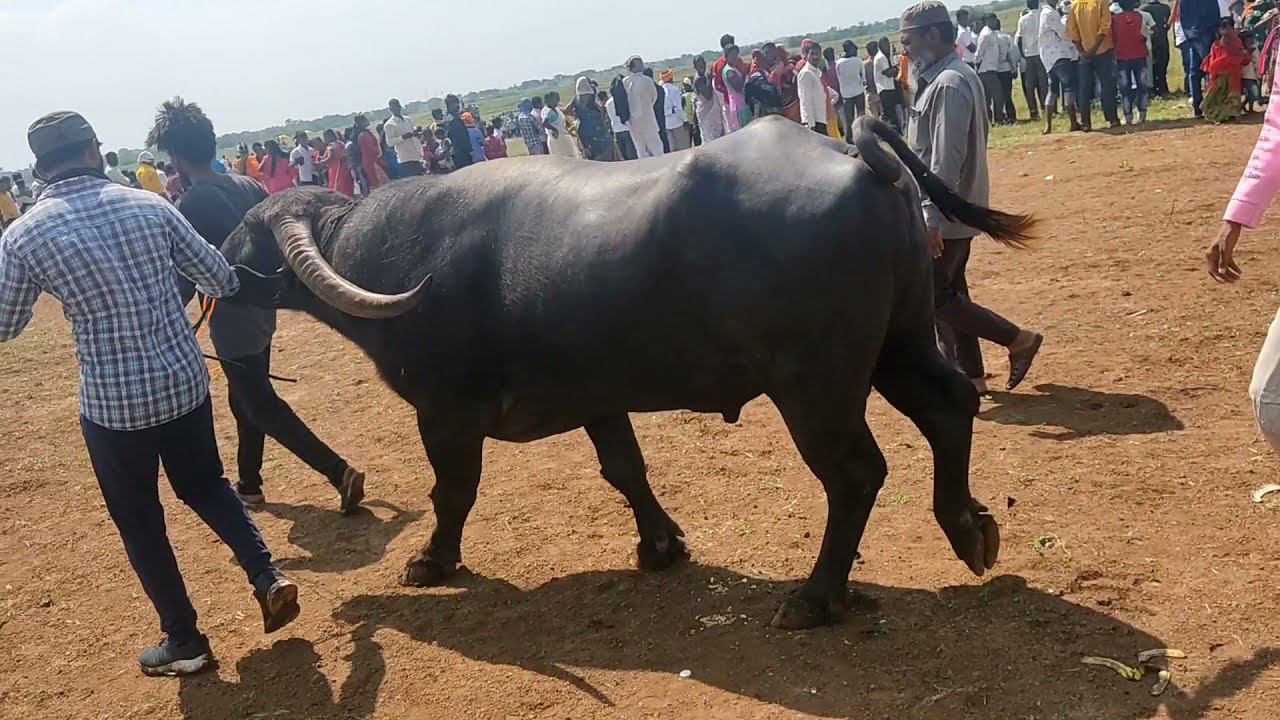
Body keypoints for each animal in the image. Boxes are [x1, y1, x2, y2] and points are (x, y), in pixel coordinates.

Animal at [220, 115, 1034, 630]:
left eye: (249, 230)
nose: (215, 269)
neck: (392, 258)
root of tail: (853, 156)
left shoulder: (444, 413)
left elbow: (452, 493)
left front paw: (432, 561)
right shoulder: (597, 397)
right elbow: (625, 470)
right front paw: (661, 546)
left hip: (816, 386)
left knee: (857, 473)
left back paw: (815, 597)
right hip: (901, 341)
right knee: (950, 406)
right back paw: (969, 528)